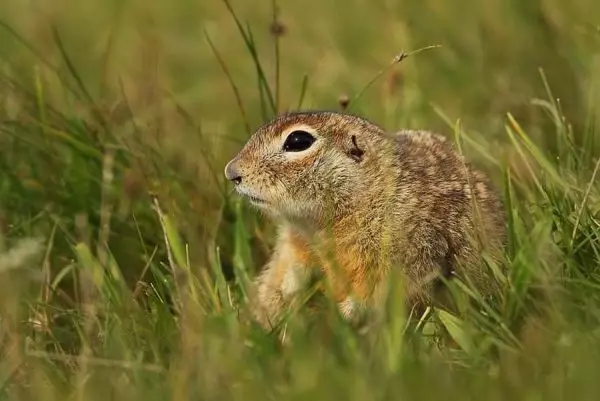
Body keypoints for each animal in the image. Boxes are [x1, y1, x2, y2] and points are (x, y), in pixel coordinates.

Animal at [224, 110, 506, 328]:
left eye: (298, 141)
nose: (231, 172)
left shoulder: (406, 249)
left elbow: (382, 292)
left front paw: (339, 315)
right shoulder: (292, 244)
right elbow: (284, 272)